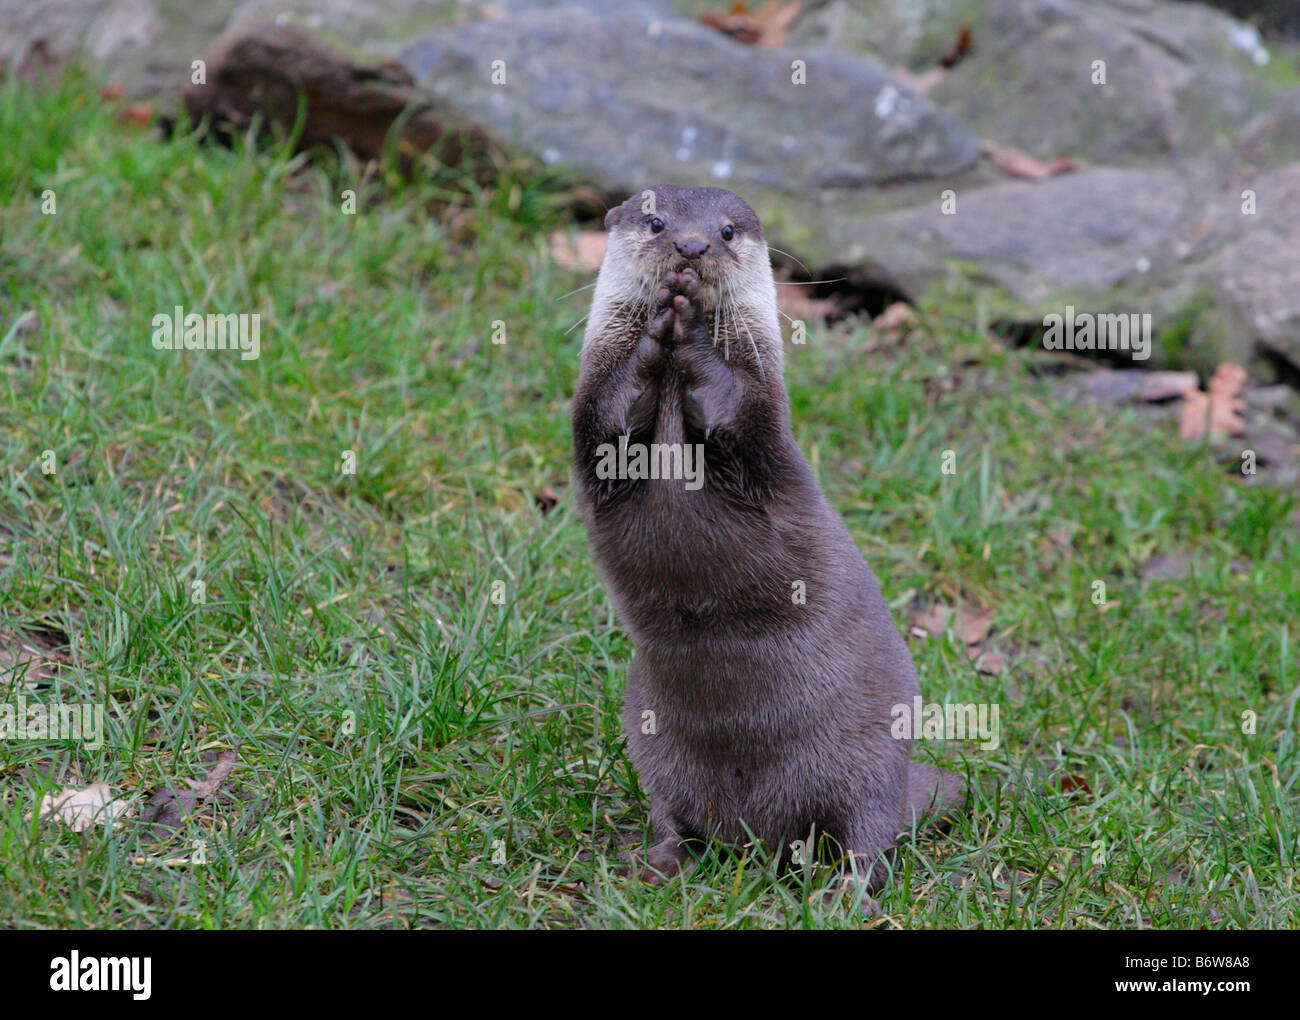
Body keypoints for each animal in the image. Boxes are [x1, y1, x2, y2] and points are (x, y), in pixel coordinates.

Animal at [570, 184, 964, 899]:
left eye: (727, 230)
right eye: (656, 221)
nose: (692, 247)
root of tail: (758, 833)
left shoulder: (760, 428)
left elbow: (733, 408)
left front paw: (691, 334)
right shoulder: (596, 425)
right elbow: (609, 416)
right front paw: (657, 333)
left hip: (871, 756)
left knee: (870, 835)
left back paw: (845, 893)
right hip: (651, 741)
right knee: (673, 817)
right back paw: (658, 863)